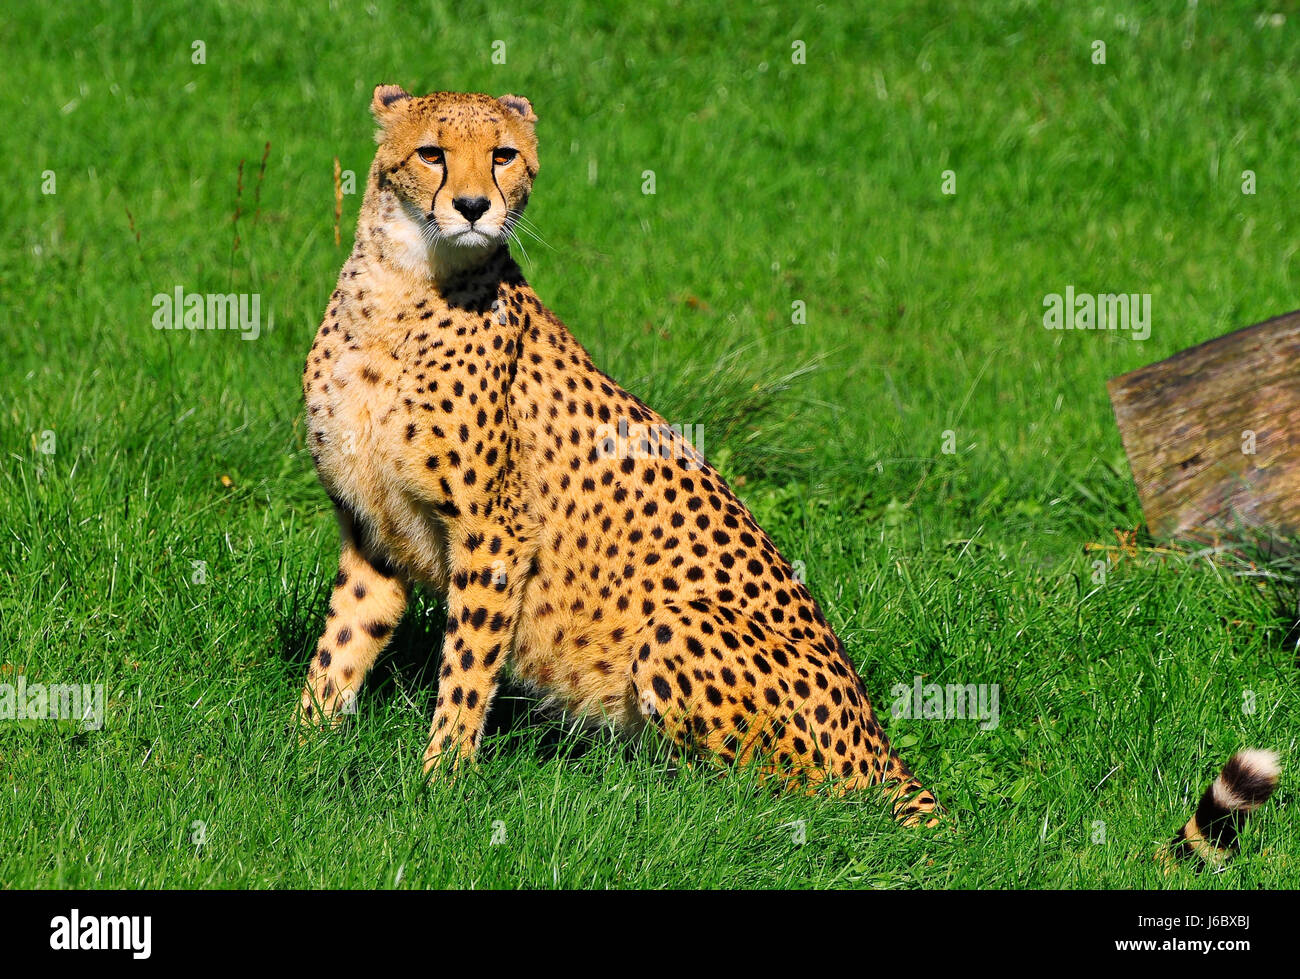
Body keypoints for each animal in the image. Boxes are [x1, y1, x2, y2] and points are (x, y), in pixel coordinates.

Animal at [298, 85, 1280, 851]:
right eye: (431, 153)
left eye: (502, 155)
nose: (472, 205)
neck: (402, 286)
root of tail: (880, 740)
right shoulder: (372, 532)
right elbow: (342, 645)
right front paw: (300, 749)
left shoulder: (494, 536)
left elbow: (464, 673)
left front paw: (441, 782)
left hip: (681, 625)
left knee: (777, 797)